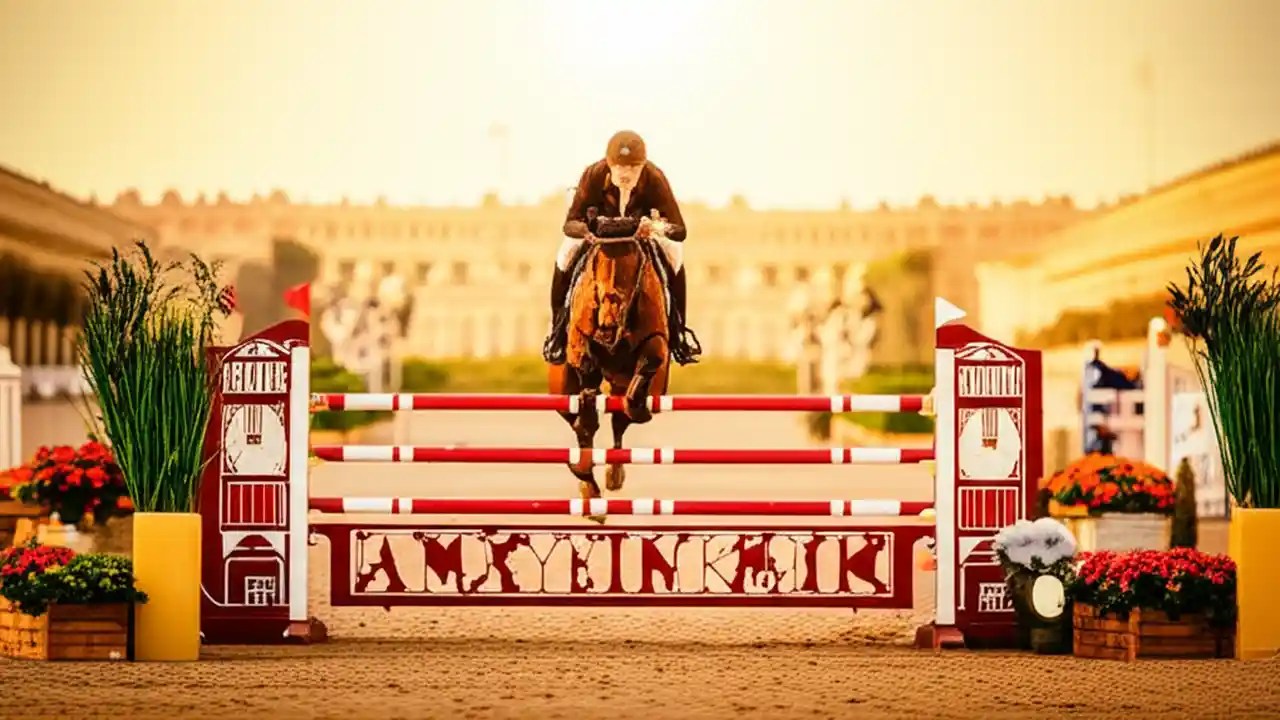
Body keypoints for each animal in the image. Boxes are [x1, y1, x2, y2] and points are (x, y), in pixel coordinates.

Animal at [547, 215, 672, 523]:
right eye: (596, 261)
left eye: (634, 263)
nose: (607, 325)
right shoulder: (579, 339)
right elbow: (587, 397)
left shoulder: (656, 342)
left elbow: (643, 376)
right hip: (561, 390)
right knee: (579, 424)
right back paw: (589, 491)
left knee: (619, 421)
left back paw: (612, 474)